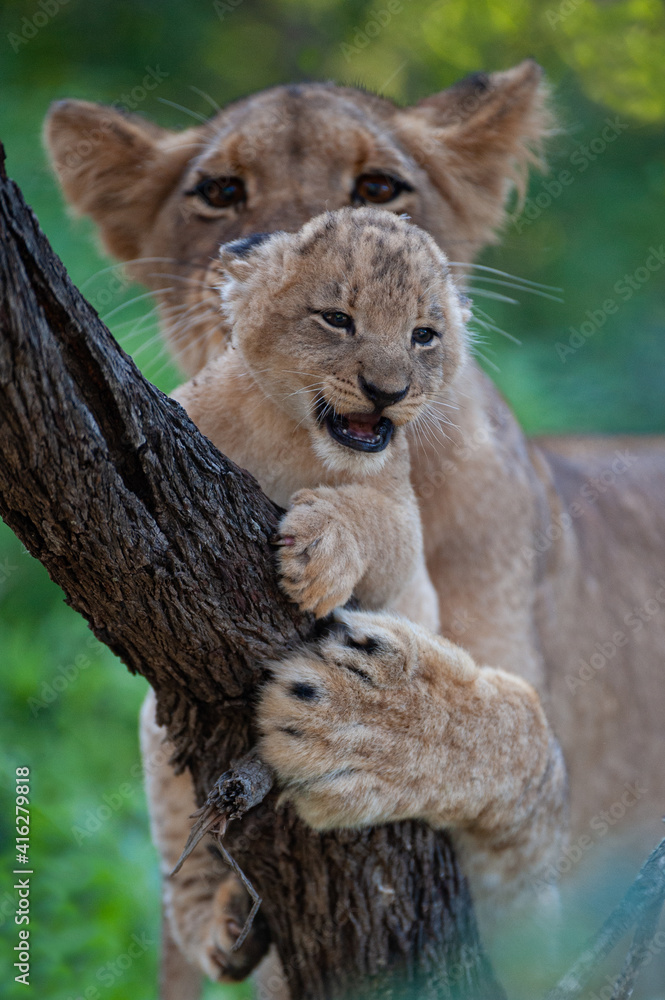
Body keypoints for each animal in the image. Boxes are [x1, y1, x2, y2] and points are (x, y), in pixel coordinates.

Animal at [45, 60, 665, 996]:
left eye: (377, 187)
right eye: (219, 192)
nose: (251, 255)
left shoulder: (541, 934)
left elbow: (516, 728)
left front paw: (364, 718)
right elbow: (156, 745)